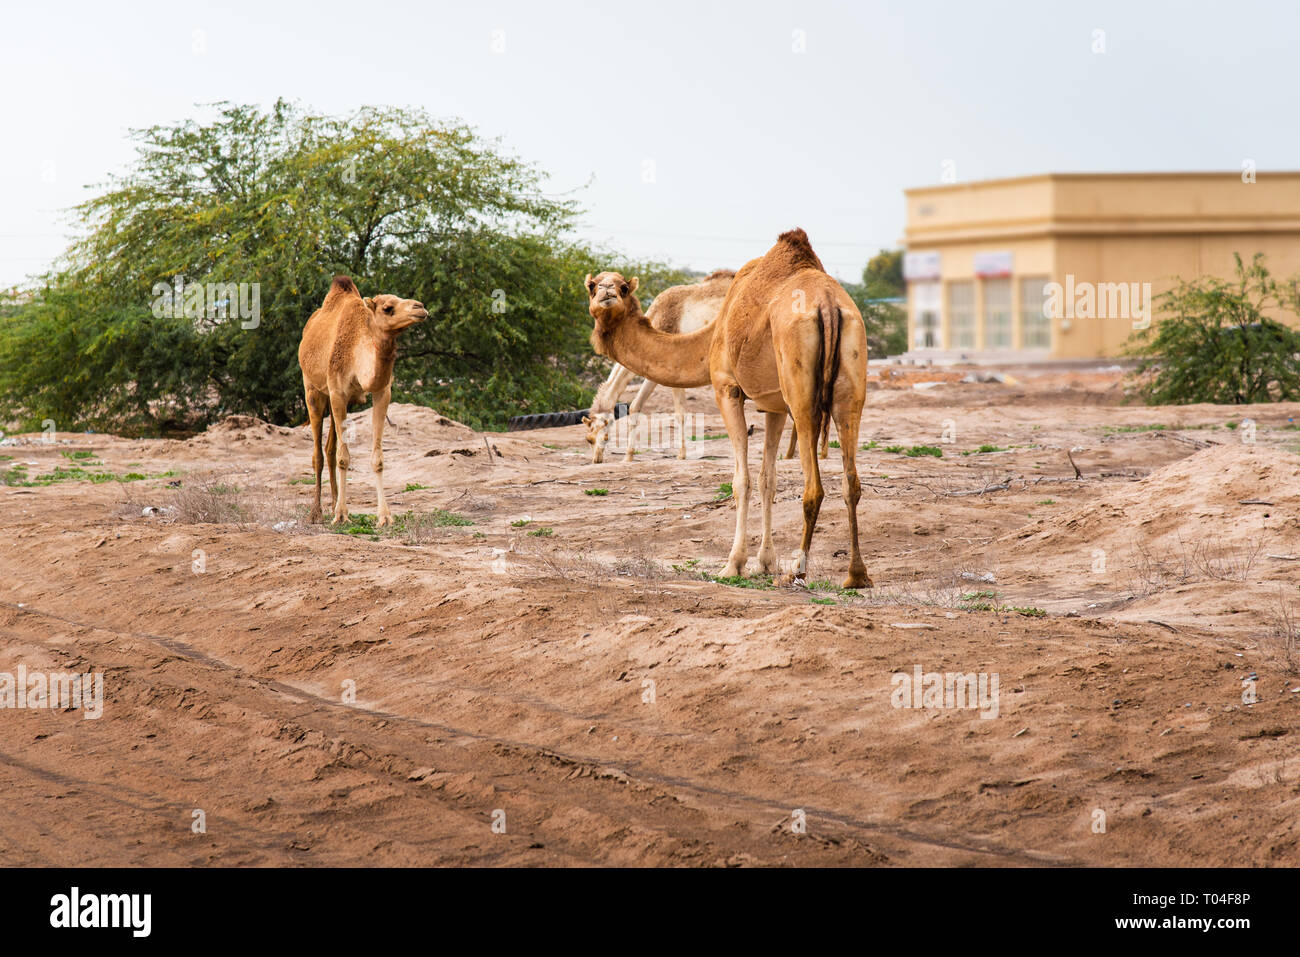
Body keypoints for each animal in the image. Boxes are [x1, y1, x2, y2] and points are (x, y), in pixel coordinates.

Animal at [297, 276, 427, 526]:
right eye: (388, 308)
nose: (420, 307)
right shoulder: (338, 392)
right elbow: (344, 457)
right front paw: (341, 515)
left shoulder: (381, 393)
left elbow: (376, 458)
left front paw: (384, 517)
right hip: (313, 391)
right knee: (318, 454)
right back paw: (316, 513)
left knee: (330, 449)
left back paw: (333, 504)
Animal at [583, 269, 733, 463]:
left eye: (592, 438)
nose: (597, 459)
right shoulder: (655, 368)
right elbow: (635, 407)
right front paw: (628, 457)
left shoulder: (673, 365)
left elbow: (680, 413)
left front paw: (681, 455)